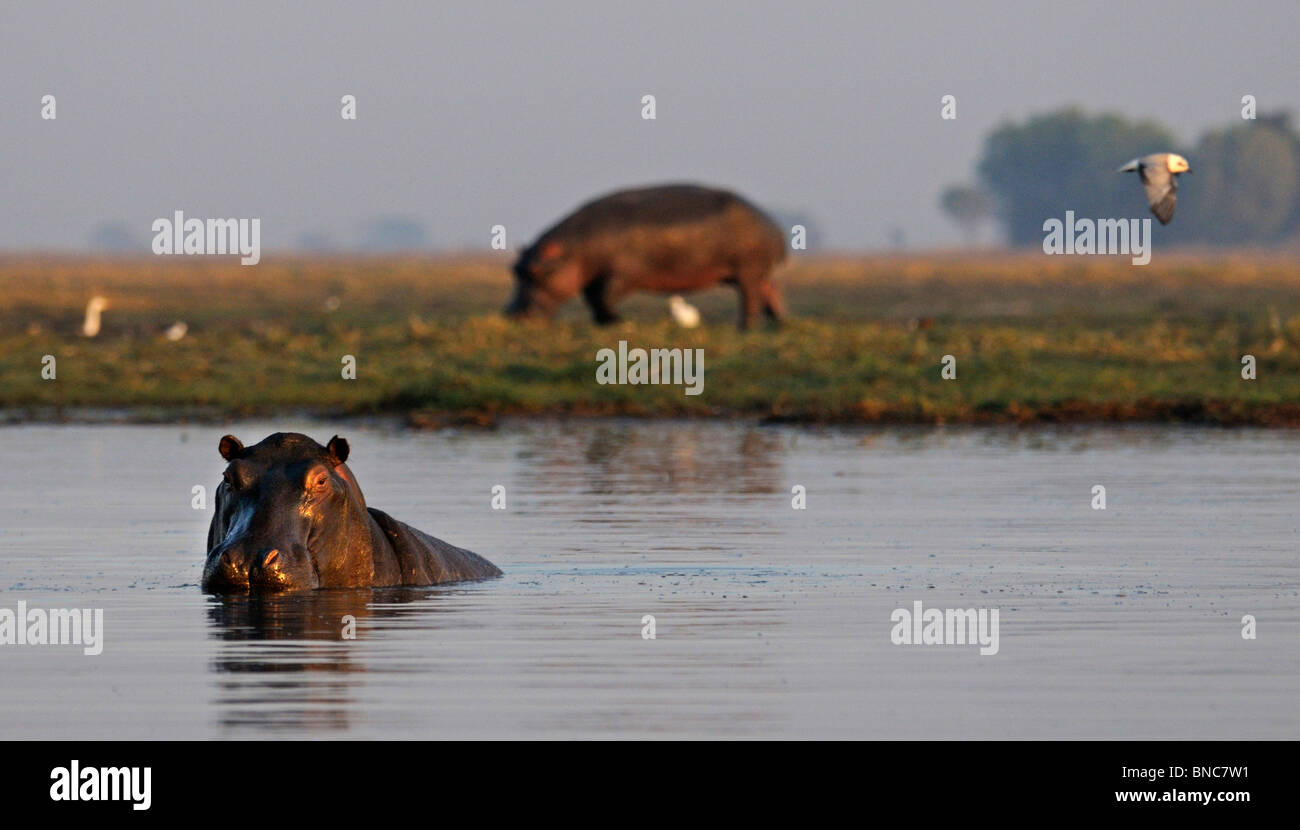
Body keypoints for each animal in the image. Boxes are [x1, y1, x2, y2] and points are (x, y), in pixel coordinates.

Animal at [506, 183, 787, 329]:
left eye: (535, 272)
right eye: (514, 268)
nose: (511, 314)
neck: (572, 251)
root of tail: (772, 223)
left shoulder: (621, 274)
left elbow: (603, 296)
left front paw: (617, 322)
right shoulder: (593, 277)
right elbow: (594, 299)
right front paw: (605, 322)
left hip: (748, 270)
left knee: (751, 298)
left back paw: (745, 328)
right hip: (755, 272)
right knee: (770, 292)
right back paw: (780, 323)